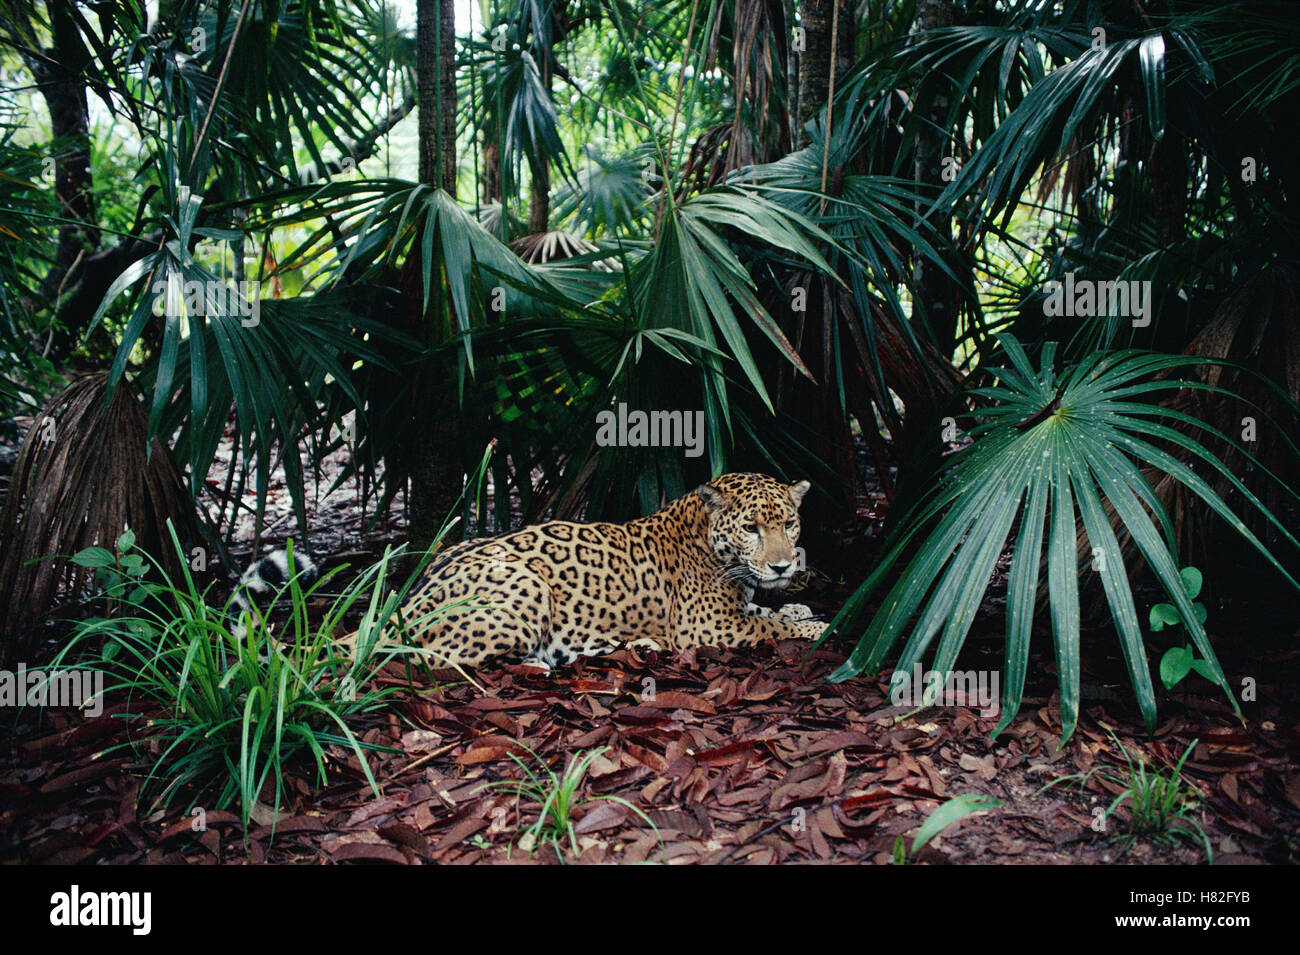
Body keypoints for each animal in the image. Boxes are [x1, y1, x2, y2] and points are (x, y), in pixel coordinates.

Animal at [374, 472, 829, 669]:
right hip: (526, 583)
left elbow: (768, 613)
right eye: (751, 527)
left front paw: (798, 609)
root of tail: (402, 605)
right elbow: (770, 627)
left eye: (789, 523)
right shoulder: (708, 627)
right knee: (446, 661)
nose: (783, 565)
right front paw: (818, 626)